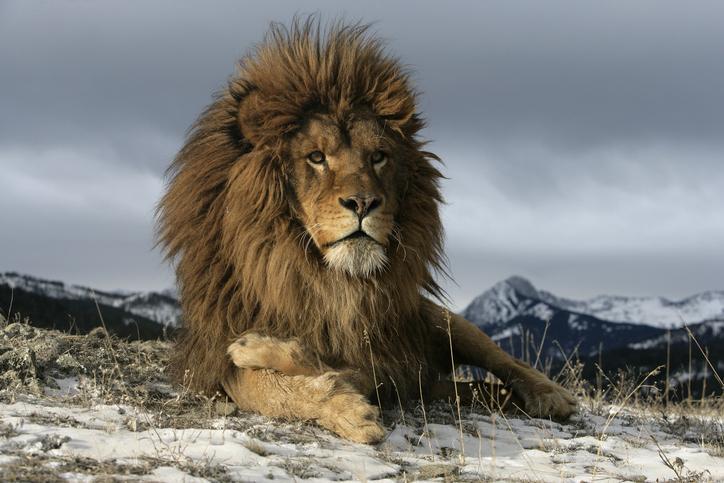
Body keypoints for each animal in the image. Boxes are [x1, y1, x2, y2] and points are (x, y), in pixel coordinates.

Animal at [157, 19, 577, 444]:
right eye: (316, 157)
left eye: (378, 157)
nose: (362, 203)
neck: (327, 280)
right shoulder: (217, 360)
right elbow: (269, 387)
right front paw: (342, 406)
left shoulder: (386, 362)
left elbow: (327, 366)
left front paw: (265, 352)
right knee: (476, 388)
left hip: (441, 321)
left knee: (505, 360)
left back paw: (552, 395)